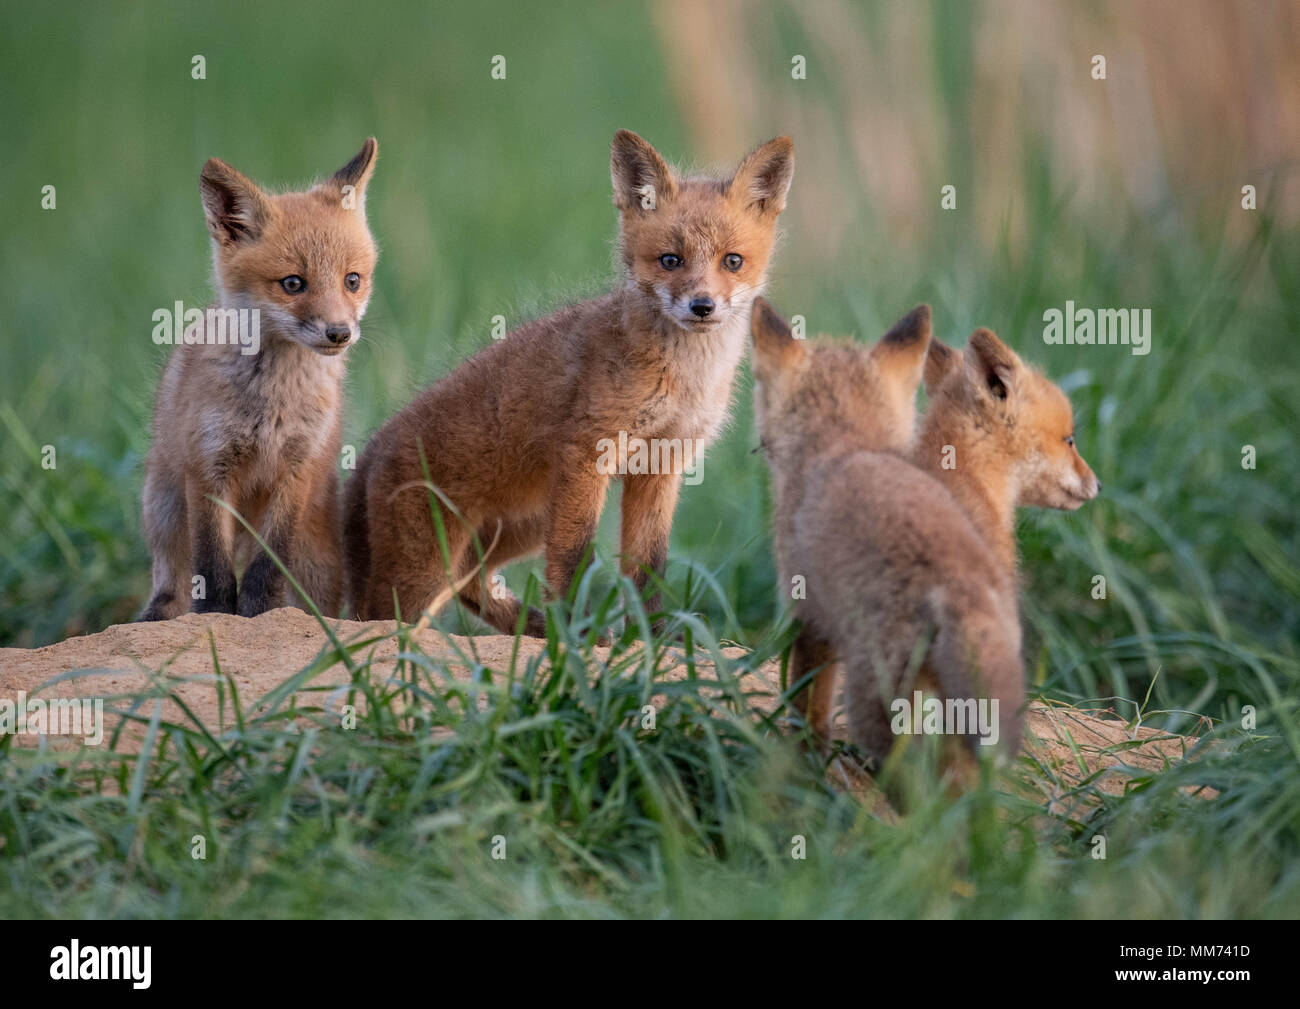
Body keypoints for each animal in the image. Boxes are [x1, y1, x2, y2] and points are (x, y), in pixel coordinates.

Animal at [138, 139, 379, 621]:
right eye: (293, 283)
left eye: (352, 280)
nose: (339, 333)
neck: (274, 402)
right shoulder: (208, 467)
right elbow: (212, 566)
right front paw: (217, 616)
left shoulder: (296, 469)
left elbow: (268, 566)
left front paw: (259, 614)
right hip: (164, 506)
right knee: (172, 577)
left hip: (315, 553)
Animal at [345, 130, 794, 631]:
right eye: (670, 260)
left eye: (732, 261)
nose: (702, 306)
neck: (682, 379)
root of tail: (369, 450)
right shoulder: (588, 454)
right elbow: (574, 558)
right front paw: (577, 636)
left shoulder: (662, 464)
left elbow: (648, 568)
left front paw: (650, 639)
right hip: (425, 568)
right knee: (377, 621)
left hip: (520, 527)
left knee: (474, 583)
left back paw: (530, 626)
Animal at [750, 297, 1024, 769]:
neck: (846, 443)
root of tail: (960, 587)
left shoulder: (809, 616)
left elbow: (809, 707)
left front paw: (804, 760)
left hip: (878, 708)